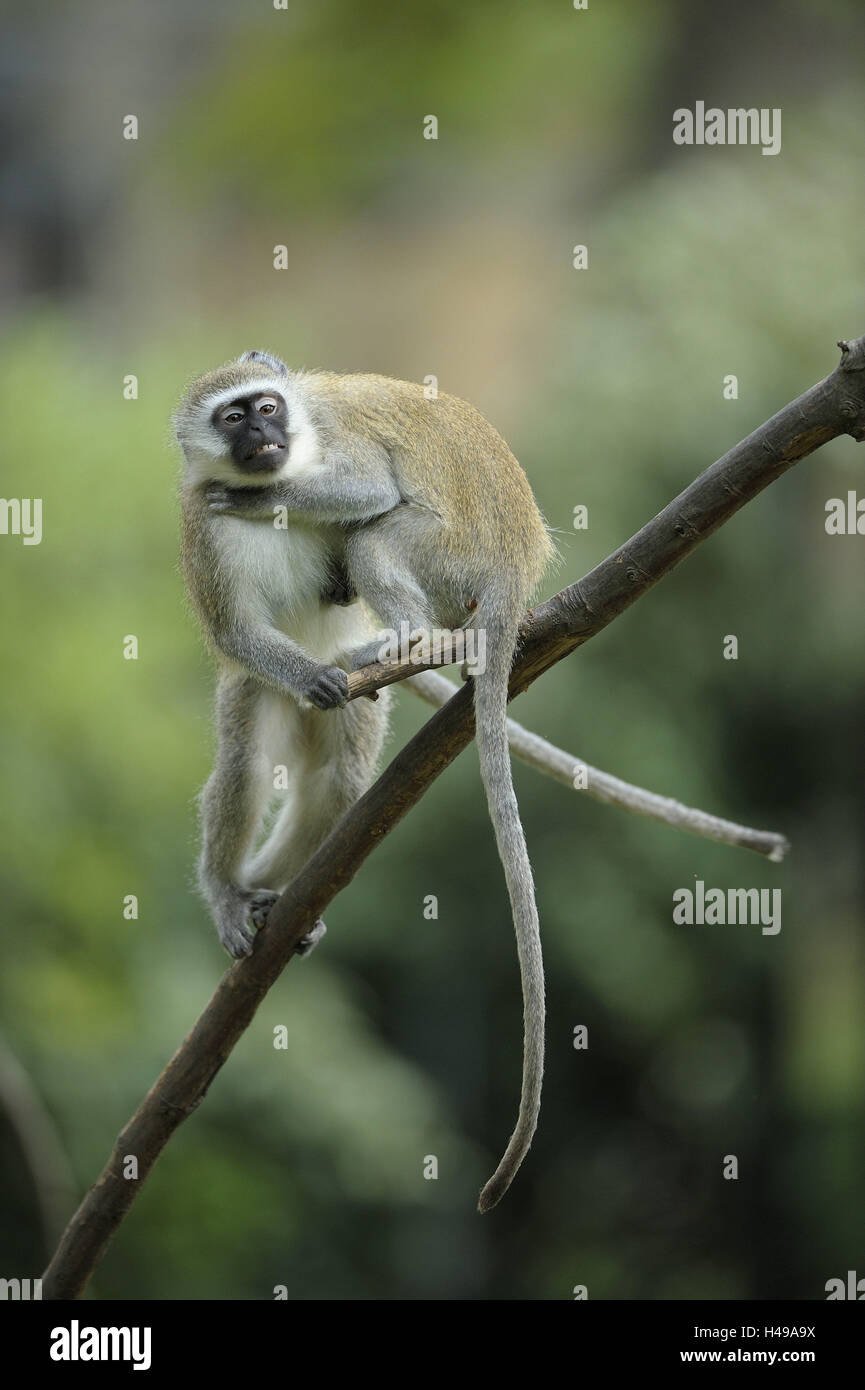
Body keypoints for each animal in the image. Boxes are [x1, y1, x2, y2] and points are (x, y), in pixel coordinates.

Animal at [175, 349, 555, 1212]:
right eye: (233, 417)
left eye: (266, 406)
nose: (264, 439)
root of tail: (514, 565)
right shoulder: (200, 529)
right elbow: (235, 632)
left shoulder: (329, 442)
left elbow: (369, 488)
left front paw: (268, 501)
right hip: (269, 694)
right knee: (265, 766)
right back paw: (247, 895)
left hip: (448, 550)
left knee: (381, 534)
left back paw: (401, 643)